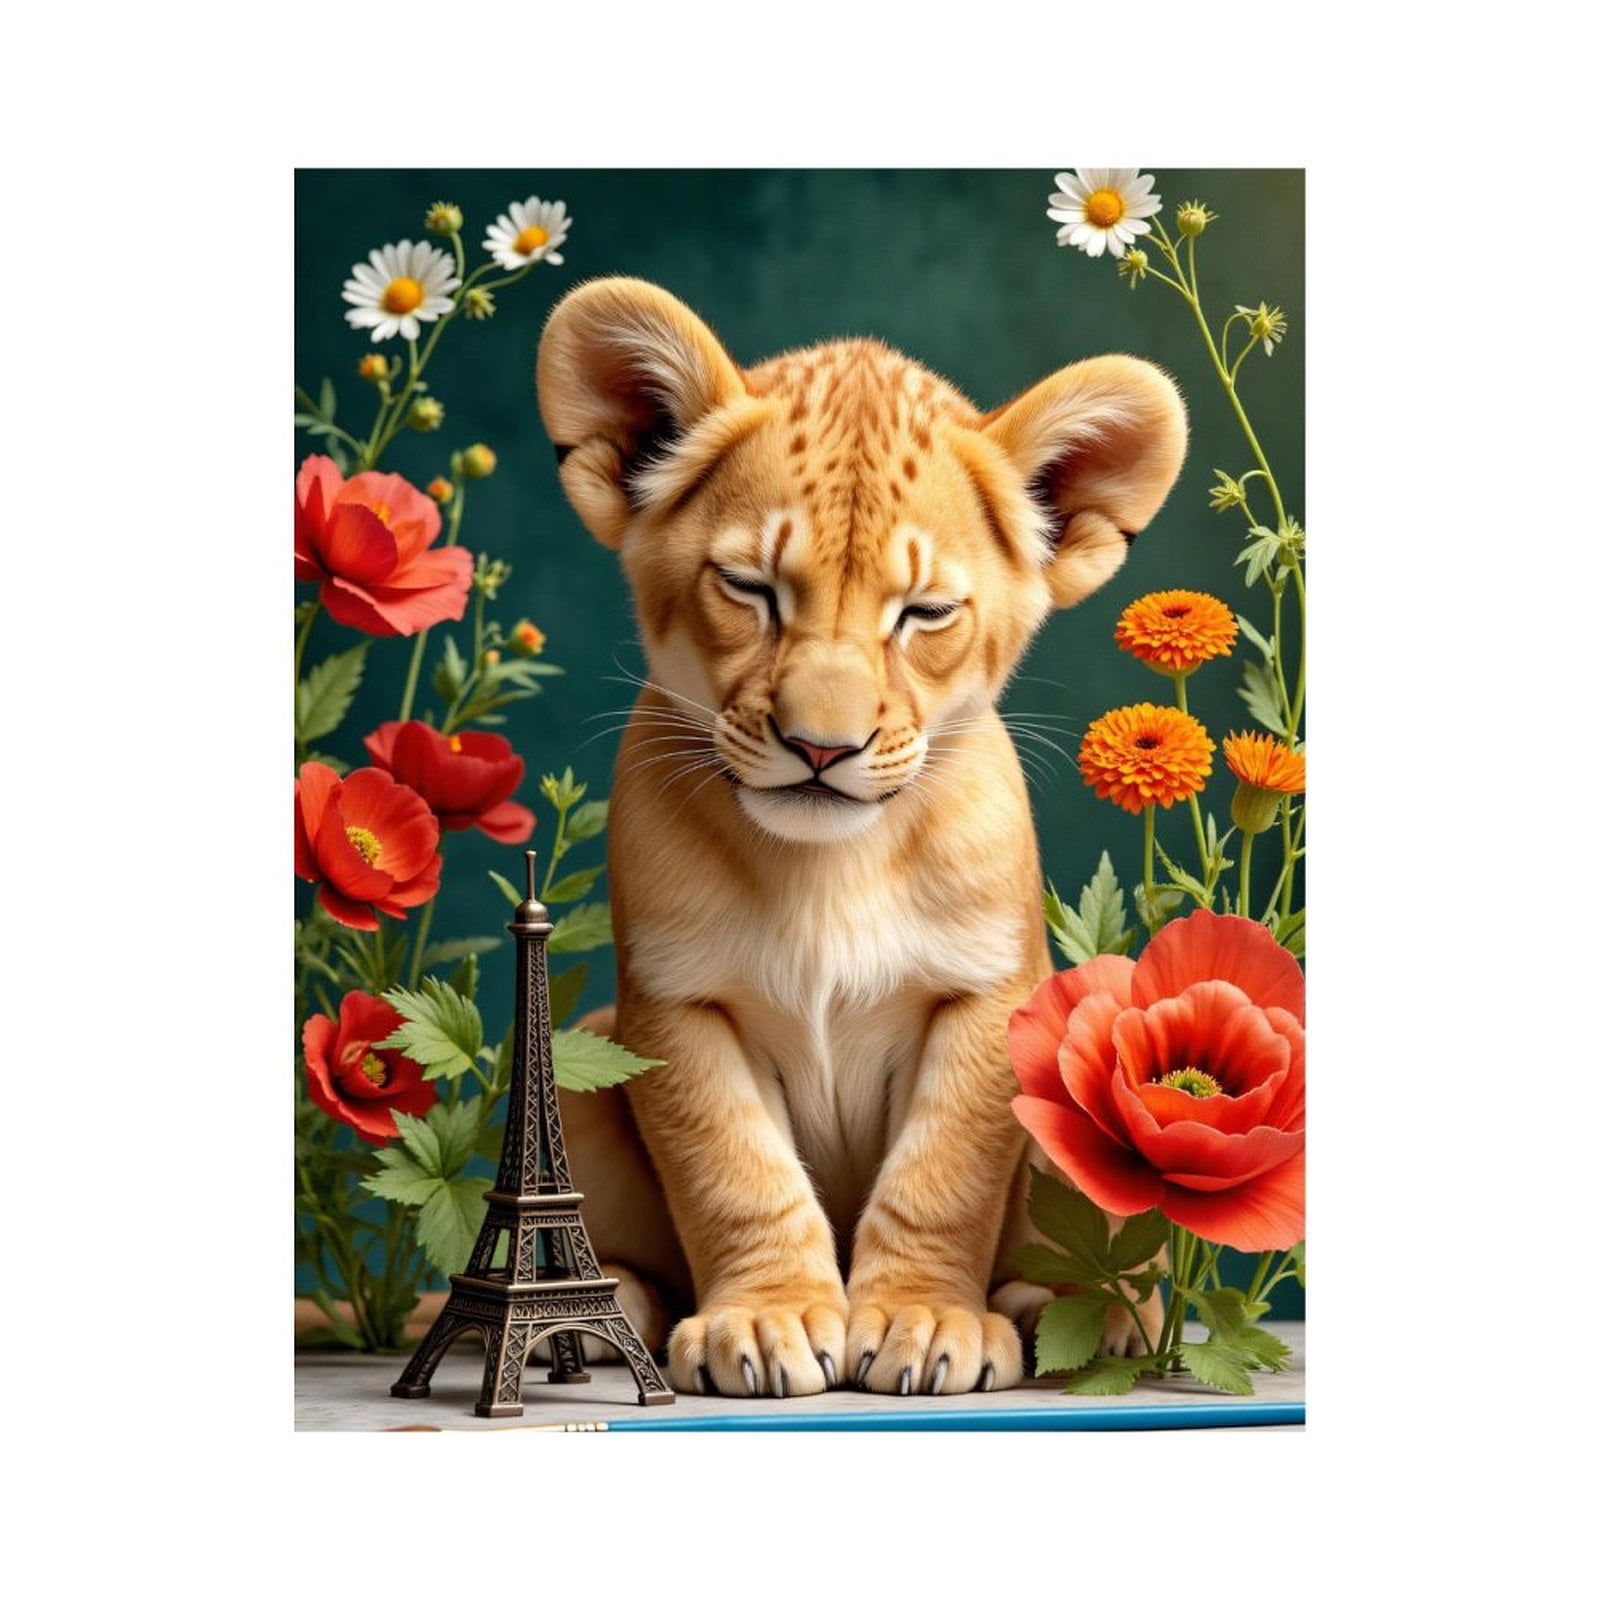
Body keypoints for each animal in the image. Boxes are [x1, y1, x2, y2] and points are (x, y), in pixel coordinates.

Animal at [536, 278, 1185, 1397]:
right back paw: (589, 1316)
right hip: (582, 1066)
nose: (820, 747)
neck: (826, 866)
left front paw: (925, 1321)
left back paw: (1092, 1317)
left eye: (923, 613)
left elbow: (941, 1173)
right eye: (749, 588)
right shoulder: (673, 1003)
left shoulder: (985, 995)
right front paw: (765, 1321)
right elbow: (735, 1170)